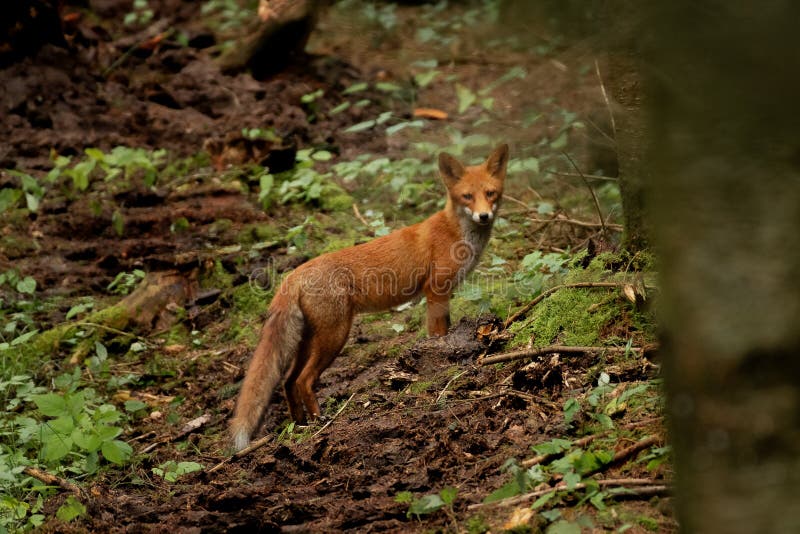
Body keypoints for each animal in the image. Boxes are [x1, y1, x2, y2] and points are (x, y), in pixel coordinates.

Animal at [230, 144, 509, 450]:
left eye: (491, 193)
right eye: (467, 196)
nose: (484, 216)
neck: (457, 233)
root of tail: (294, 273)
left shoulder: (443, 294)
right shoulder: (435, 290)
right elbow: (438, 334)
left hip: (309, 339)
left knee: (288, 382)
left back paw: (300, 424)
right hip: (335, 335)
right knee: (303, 380)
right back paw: (320, 421)